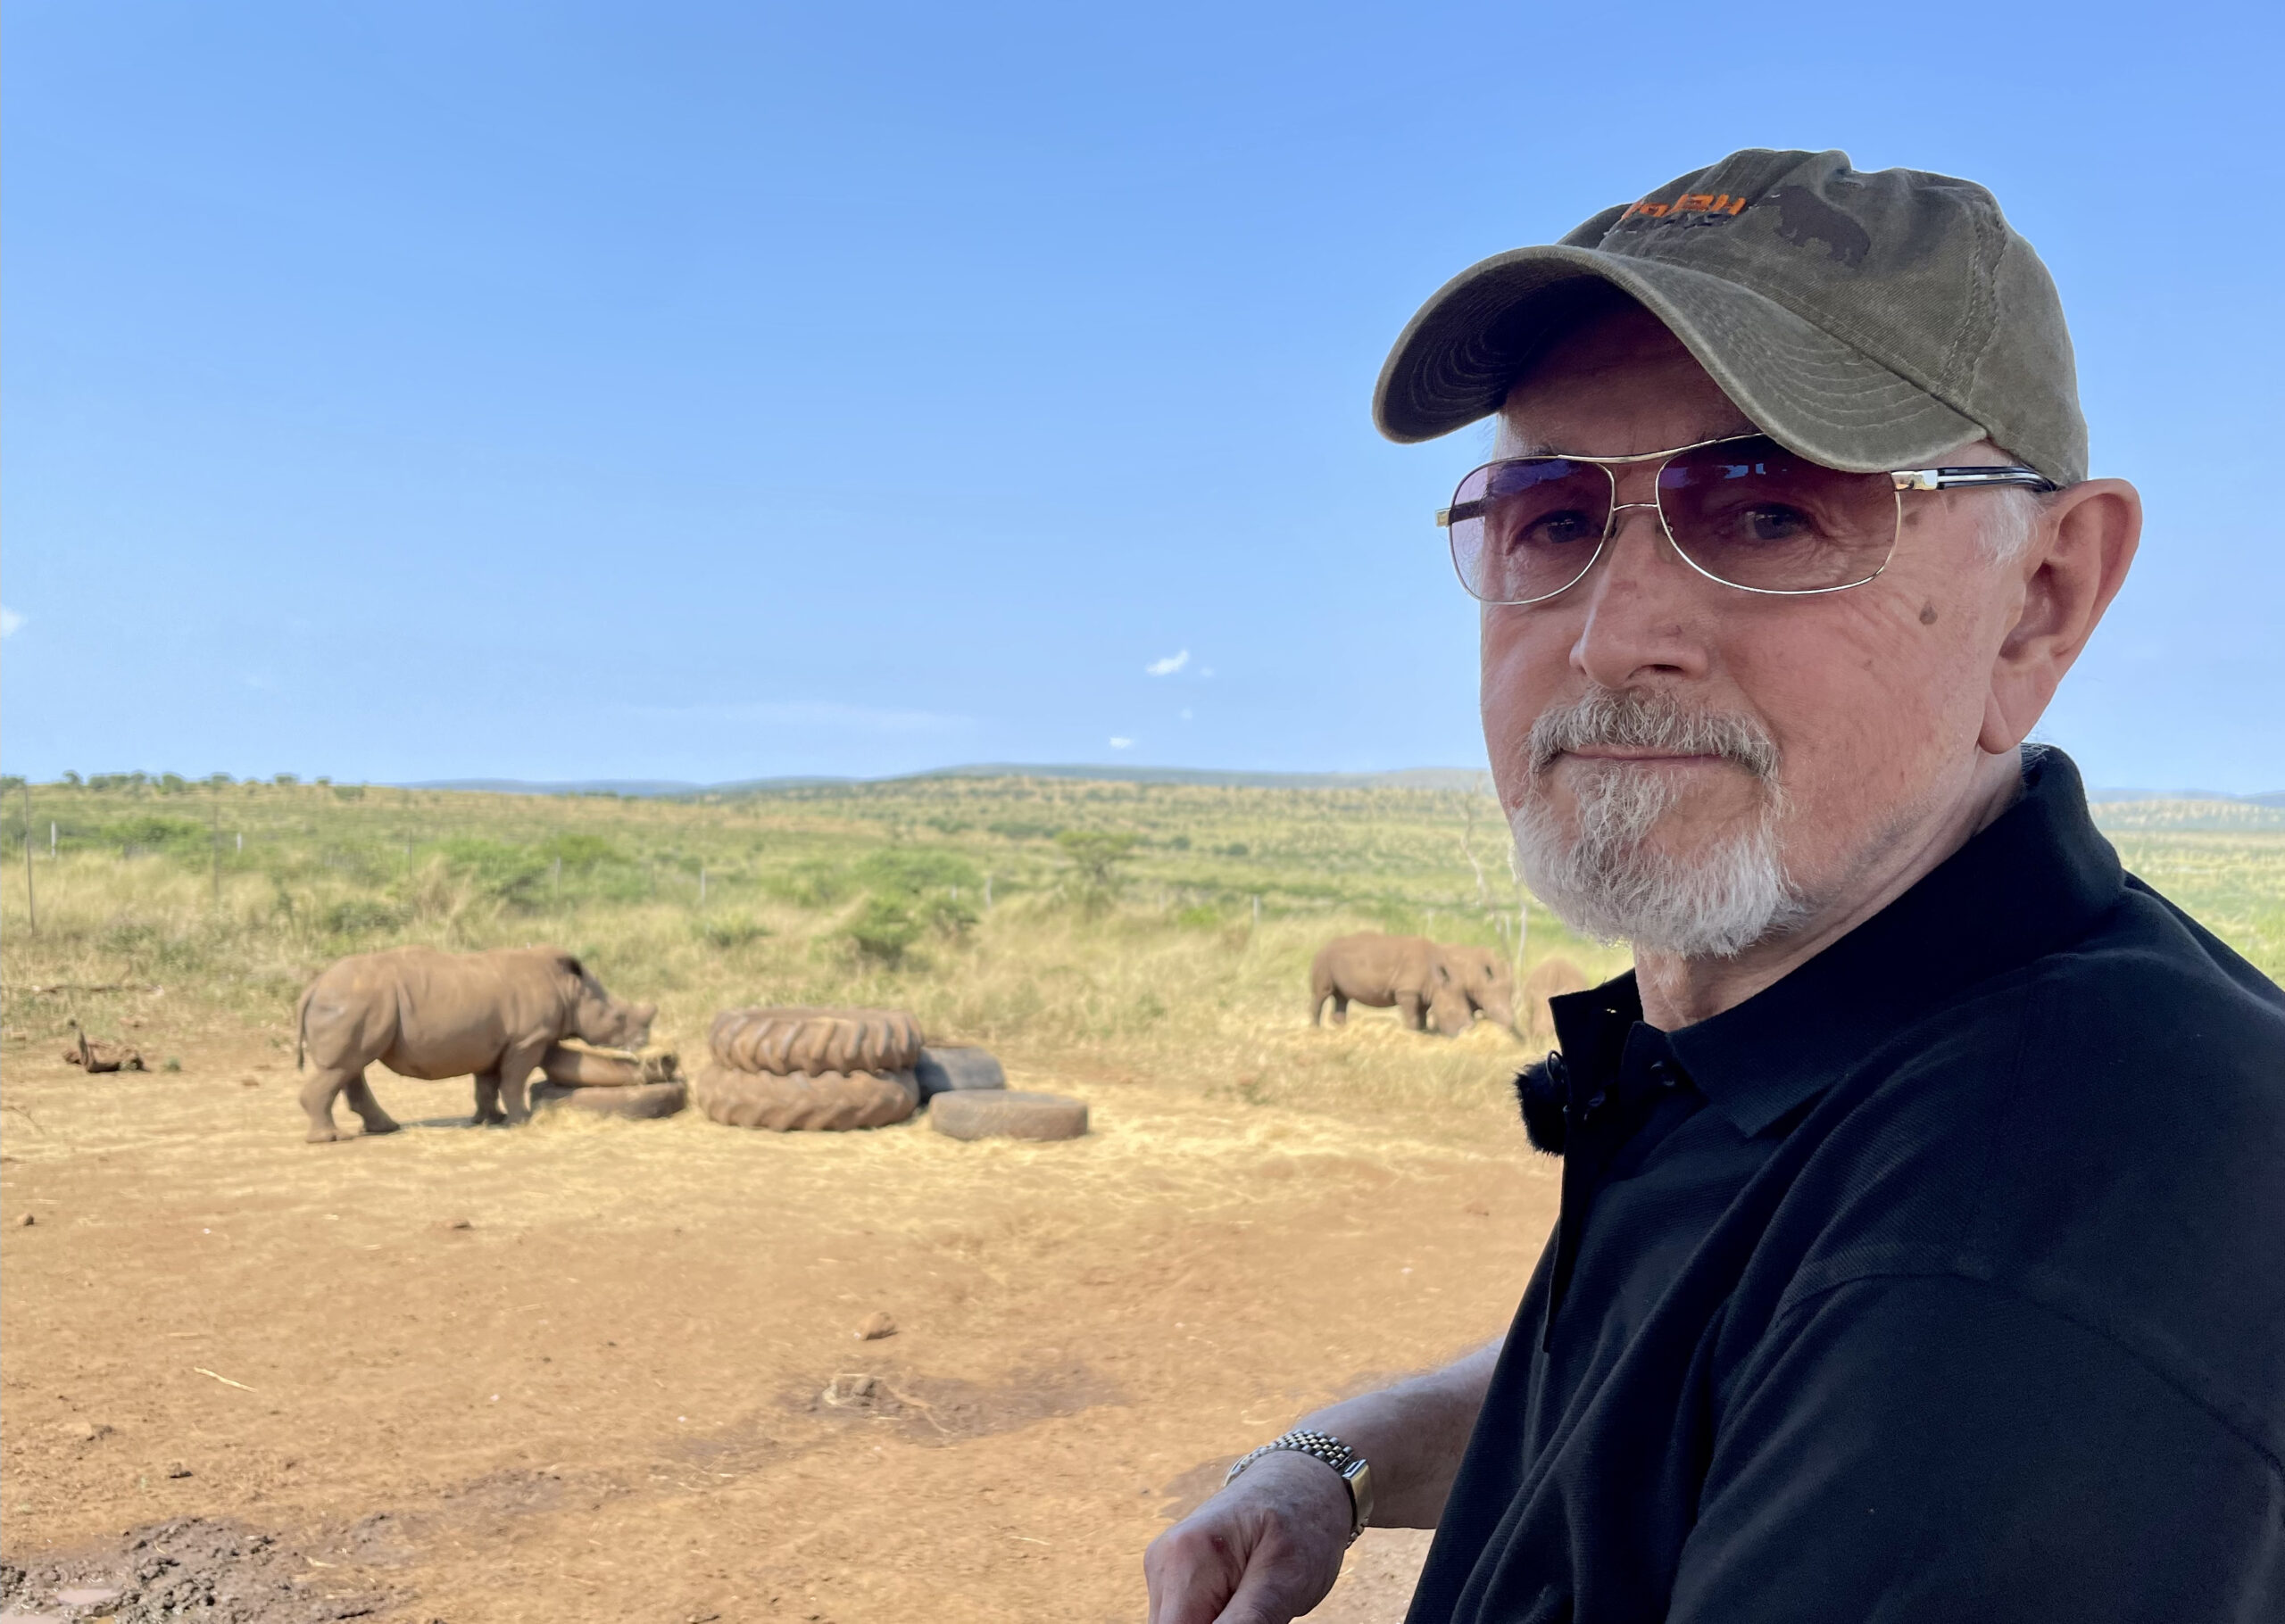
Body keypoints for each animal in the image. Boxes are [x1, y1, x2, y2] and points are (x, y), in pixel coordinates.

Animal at [294, 946, 655, 1142]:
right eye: (618, 1017)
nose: (644, 1041)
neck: (569, 988)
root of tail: (314, 986)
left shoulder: (500, 1041)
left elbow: (488, 1083)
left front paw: (489, 1120)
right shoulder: (527, 1039)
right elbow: (513, 1081)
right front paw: (522, 1120)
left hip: (355, 1002)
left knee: (353, 1065)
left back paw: (384, 1128)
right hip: (354, 1000)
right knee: (343, 1066)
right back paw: (332, 1139)